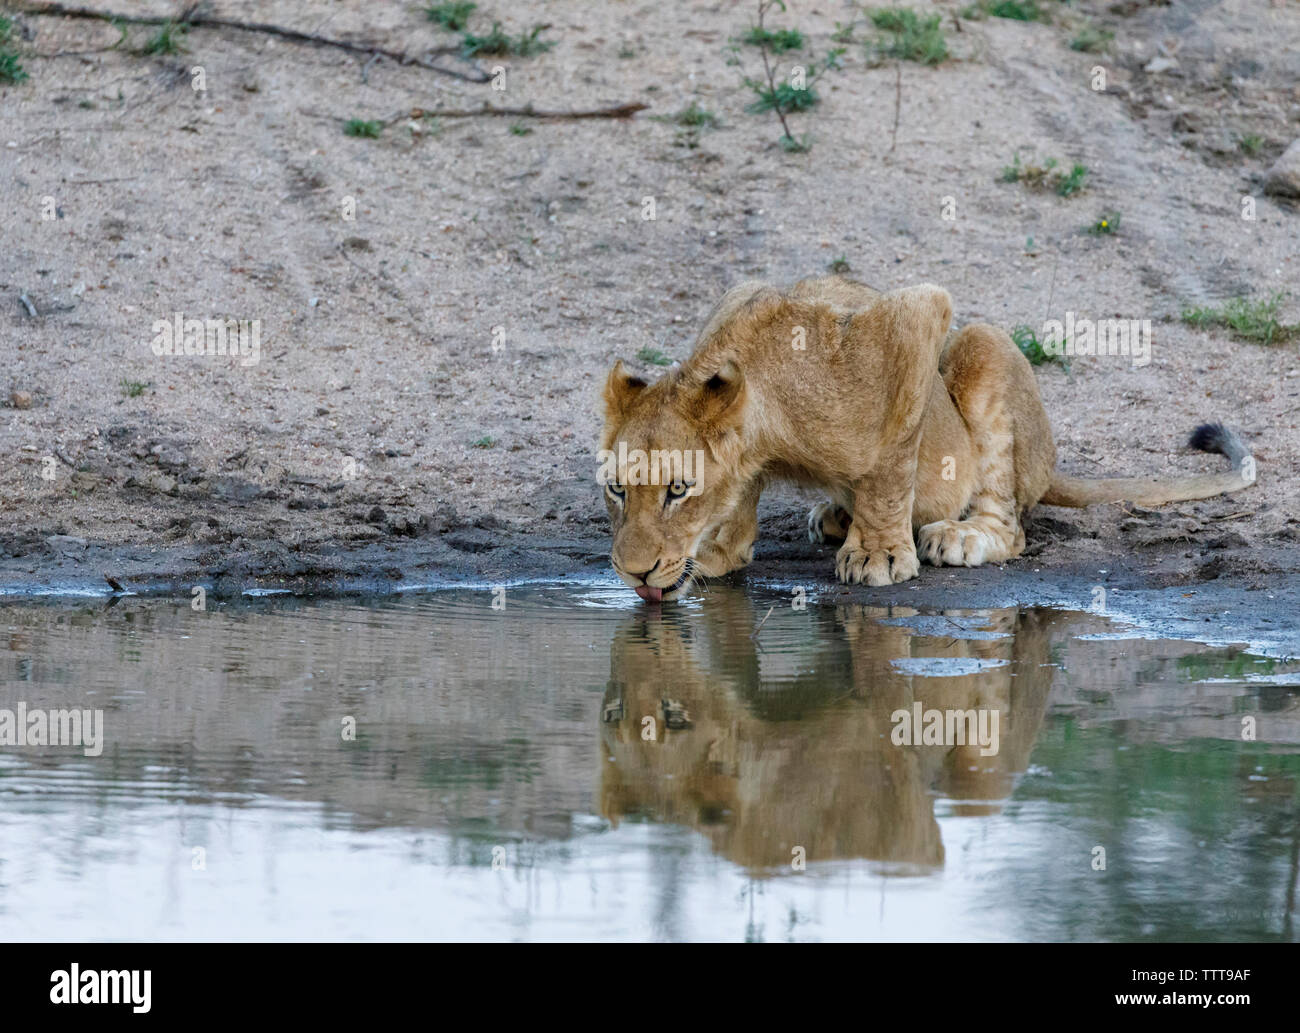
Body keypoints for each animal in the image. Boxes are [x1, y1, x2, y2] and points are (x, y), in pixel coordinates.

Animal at [600, 276, 1255, 601]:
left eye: (678, 490)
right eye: (615, 491)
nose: (633, 573)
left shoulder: (911, 322)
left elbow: (891, 466)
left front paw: (879, 555)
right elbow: (739, 499)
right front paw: (719, 553)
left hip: (979, 345)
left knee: (1011, 526)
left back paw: (957, 536)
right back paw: (834, 516)